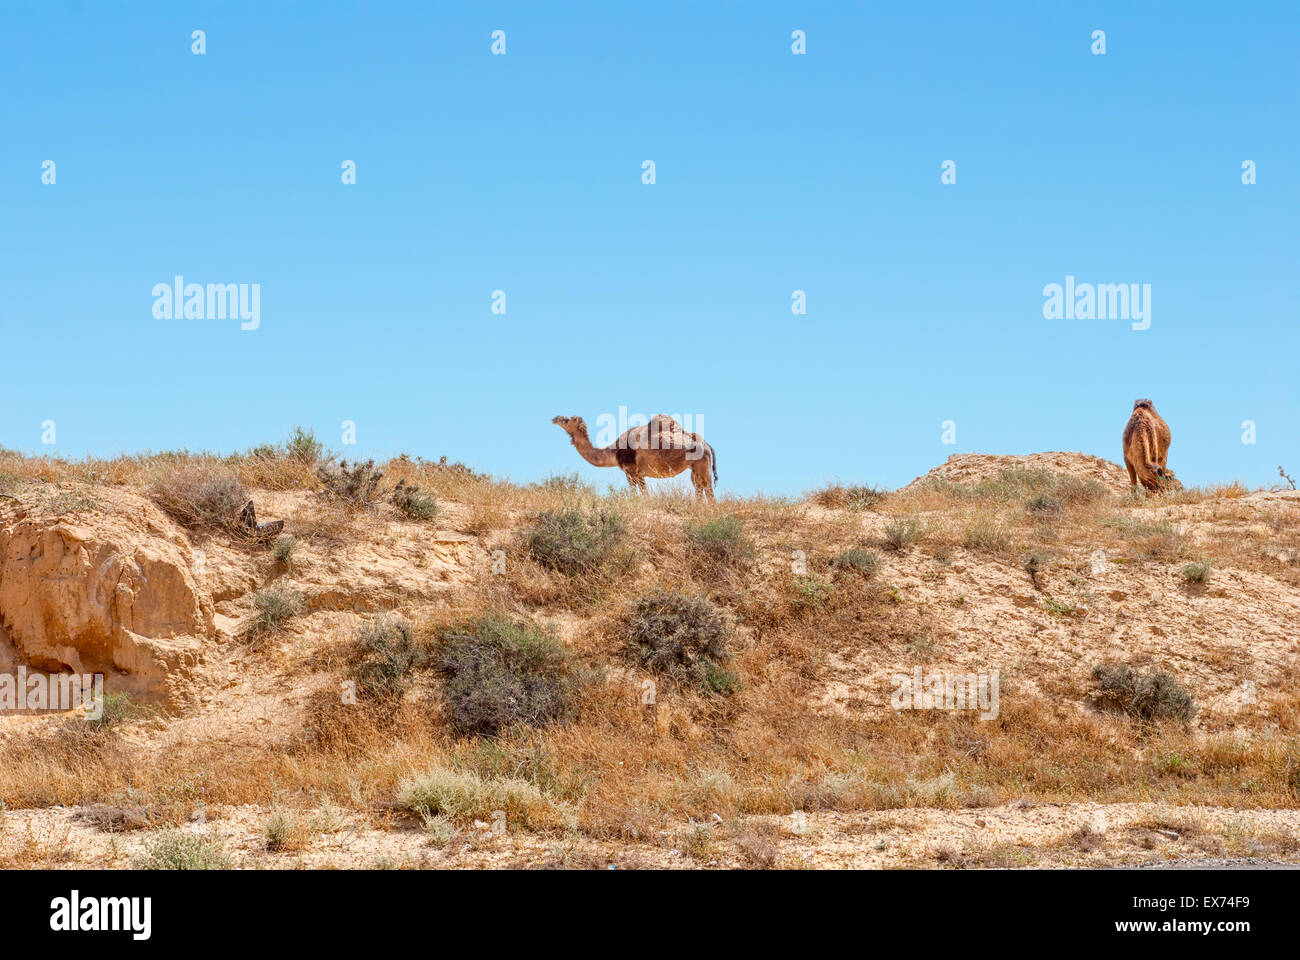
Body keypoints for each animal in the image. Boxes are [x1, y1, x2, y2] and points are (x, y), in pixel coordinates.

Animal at [551, 414, 717, 501]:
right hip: (695, 469)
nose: (555, 418)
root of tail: (708, 445)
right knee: (699, 487)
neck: (614, 451)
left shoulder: (630, 471)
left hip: (702, 466)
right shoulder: (639, 473)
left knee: (708, 489)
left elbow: (634, 493)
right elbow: (645, 493)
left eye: (566, 420)